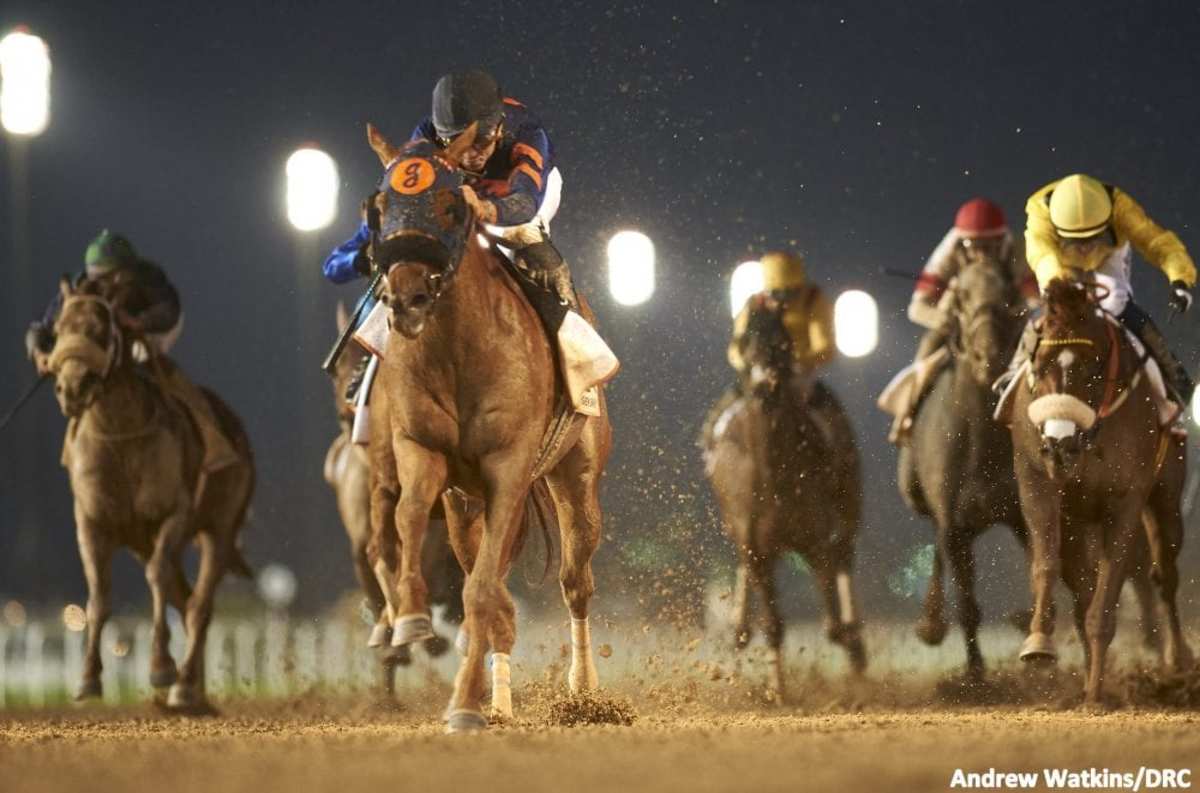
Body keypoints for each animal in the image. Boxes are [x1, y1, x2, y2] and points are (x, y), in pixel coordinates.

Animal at [44, 276, 254, 710]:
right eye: (59, 330)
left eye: (99, 330)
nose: (71, 388)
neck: (120, 433)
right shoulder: (91, 523)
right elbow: (98, 596)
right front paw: (88, 679)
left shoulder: (173, 514)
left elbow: (156, 576)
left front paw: (160, 667)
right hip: (144, 542)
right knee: (184, 599)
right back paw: (193, 691)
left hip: (221, 529)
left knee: (199, 604)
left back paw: (184, 684)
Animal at [362, 126, 612, 732]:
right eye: (379, 207)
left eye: (452, 207)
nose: (406, 298)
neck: (460, 350)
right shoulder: (422, 449)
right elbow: (409, 519)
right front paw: (410, 619)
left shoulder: (509, 468)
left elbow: (480, 593)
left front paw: (464, 706)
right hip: (465, 506)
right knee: (495, 589)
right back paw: (496, 702)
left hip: (575, 479)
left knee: (575, 582)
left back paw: (583, 692)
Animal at [702, 293, 865, 701]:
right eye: (745, 340)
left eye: (782, 341)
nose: (765, 387)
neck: (775, 470)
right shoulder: (756, 546)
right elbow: (773, 623)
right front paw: (776, 691)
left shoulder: (815, 540)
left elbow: (831, 623)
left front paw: (850, 643)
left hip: (849, 501)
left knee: (845, 555)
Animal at [897, 261, 1029, 679]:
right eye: (961, 295)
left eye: (1007, 292)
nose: (988, 354)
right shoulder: (954, 522)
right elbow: (968, 606)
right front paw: (975, 675)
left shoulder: (1021, 514)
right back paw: (930, 624)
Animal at [1009, 279, 1193, 706]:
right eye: (1040, 365)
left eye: (1093, 368)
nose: (1060, 444)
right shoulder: (1036, 479)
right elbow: (1047, 564)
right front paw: (1038, 643)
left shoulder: (1126, 500)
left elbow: (1108, 594)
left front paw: (1094, 692)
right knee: (1083, 582)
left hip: (1166, 496)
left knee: (1164, 572)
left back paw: (1178, 661)